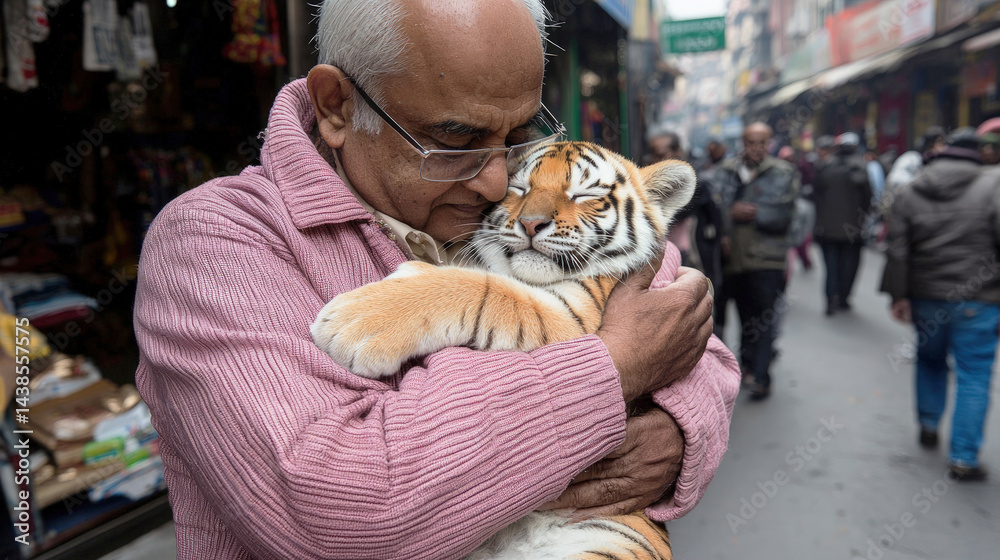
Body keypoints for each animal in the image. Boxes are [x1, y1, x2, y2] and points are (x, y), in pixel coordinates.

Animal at [311, 141, 696, 559]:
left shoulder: (573, 316)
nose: (531, 224)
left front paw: (352, 320)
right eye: (519, 188)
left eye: (584, 195)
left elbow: (484, 288)